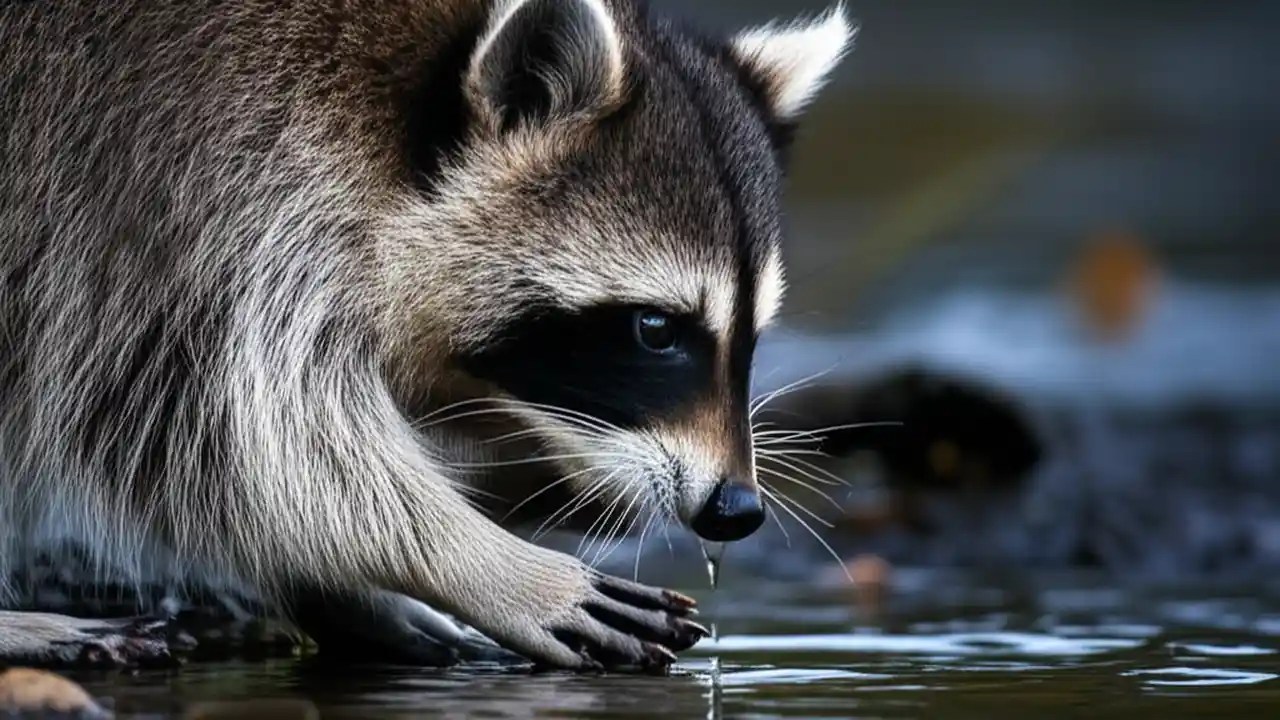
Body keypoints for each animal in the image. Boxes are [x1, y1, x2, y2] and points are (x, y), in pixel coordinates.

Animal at [0, 0, 852, 669]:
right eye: (655, 330)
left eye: (751, 337)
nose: (736, 509)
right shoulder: (192, 194)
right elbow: (252, 438)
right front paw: (477, 562)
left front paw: (340, 594)